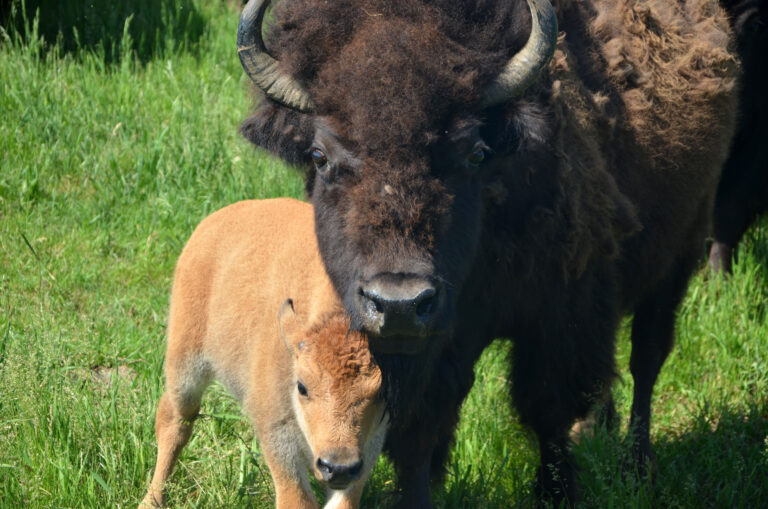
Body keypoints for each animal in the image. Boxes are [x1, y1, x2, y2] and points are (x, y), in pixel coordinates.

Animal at [238, 0, 739, 504]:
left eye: (476, 152)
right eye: (319, 156)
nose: (398, 303)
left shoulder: (560, 317)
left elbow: (548, 410)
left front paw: (557, 492)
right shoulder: (424, 348)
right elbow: (419, 432)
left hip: (678, 255)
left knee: (647, 358)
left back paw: (637, 464)